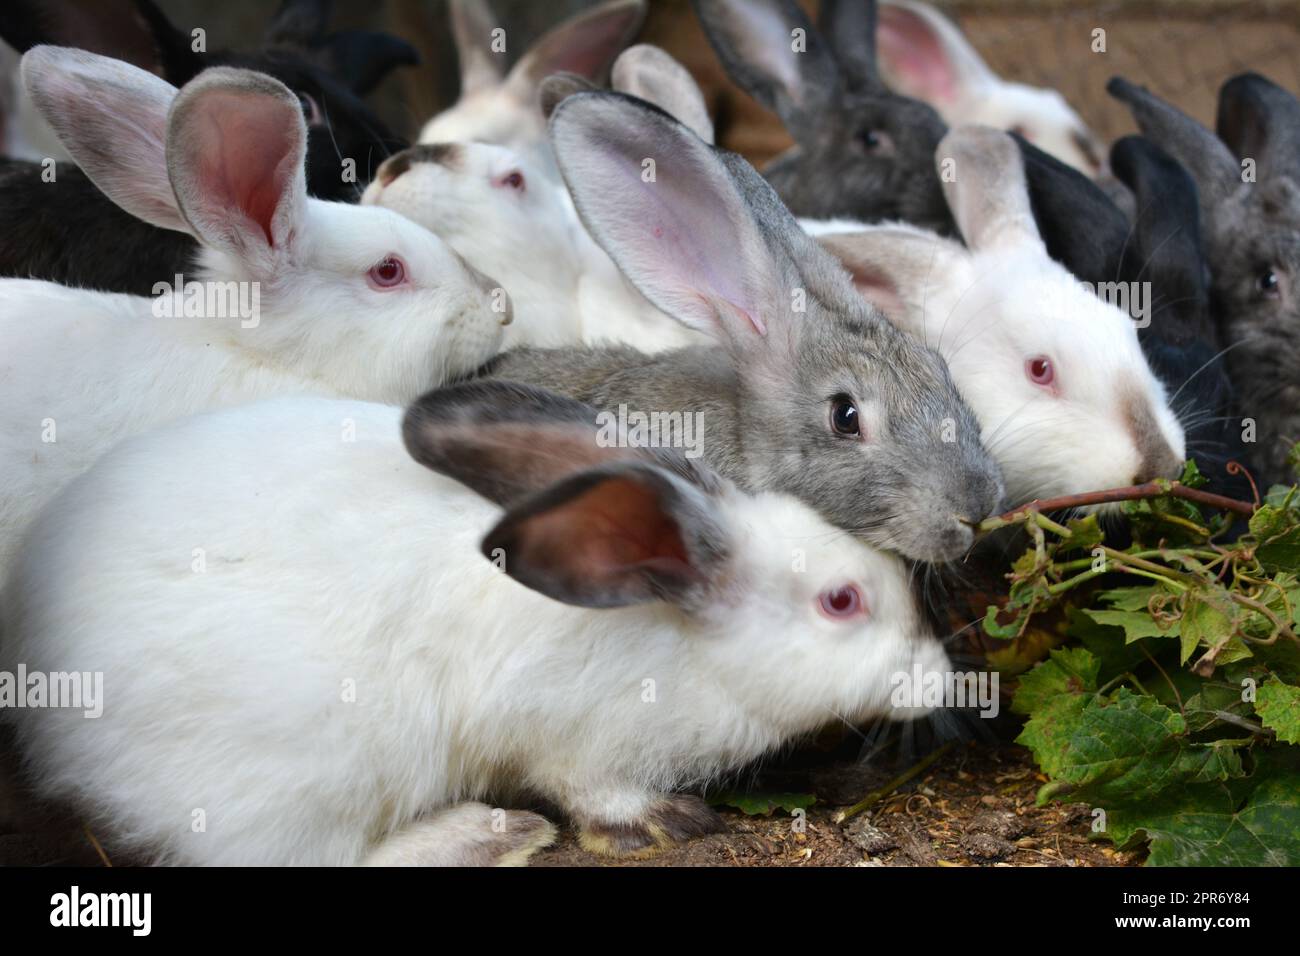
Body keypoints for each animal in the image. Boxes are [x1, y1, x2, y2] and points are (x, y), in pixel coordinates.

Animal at [0, 380, 952, 865]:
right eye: (841, 601)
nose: (942, 681)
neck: (675, 624)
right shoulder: (579, 739)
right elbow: (596, 793)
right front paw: (664, 823)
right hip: (298, 780)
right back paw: (491, 834)